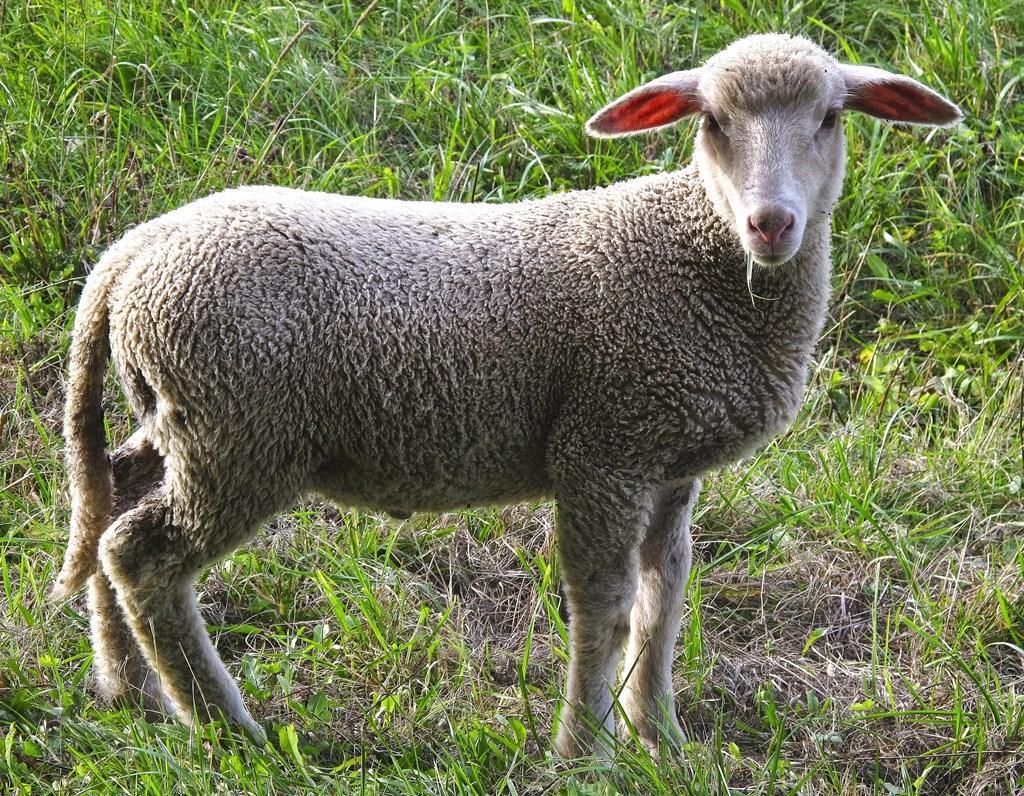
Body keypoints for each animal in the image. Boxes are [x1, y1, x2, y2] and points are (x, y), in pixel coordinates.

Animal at [52, 33, 960, 759]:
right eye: (712, 122)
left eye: (830, 117)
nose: (770, 223)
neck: (704, 261)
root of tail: (132, 255)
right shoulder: (603, 448)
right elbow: (604, 605)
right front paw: (585, 749)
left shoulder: (669, 462)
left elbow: (664, 597)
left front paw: (660, 735)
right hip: (239, 432)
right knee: (143, 554)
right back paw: (226, 726)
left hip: (183, 418)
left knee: (112, 502)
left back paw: (127, 688)